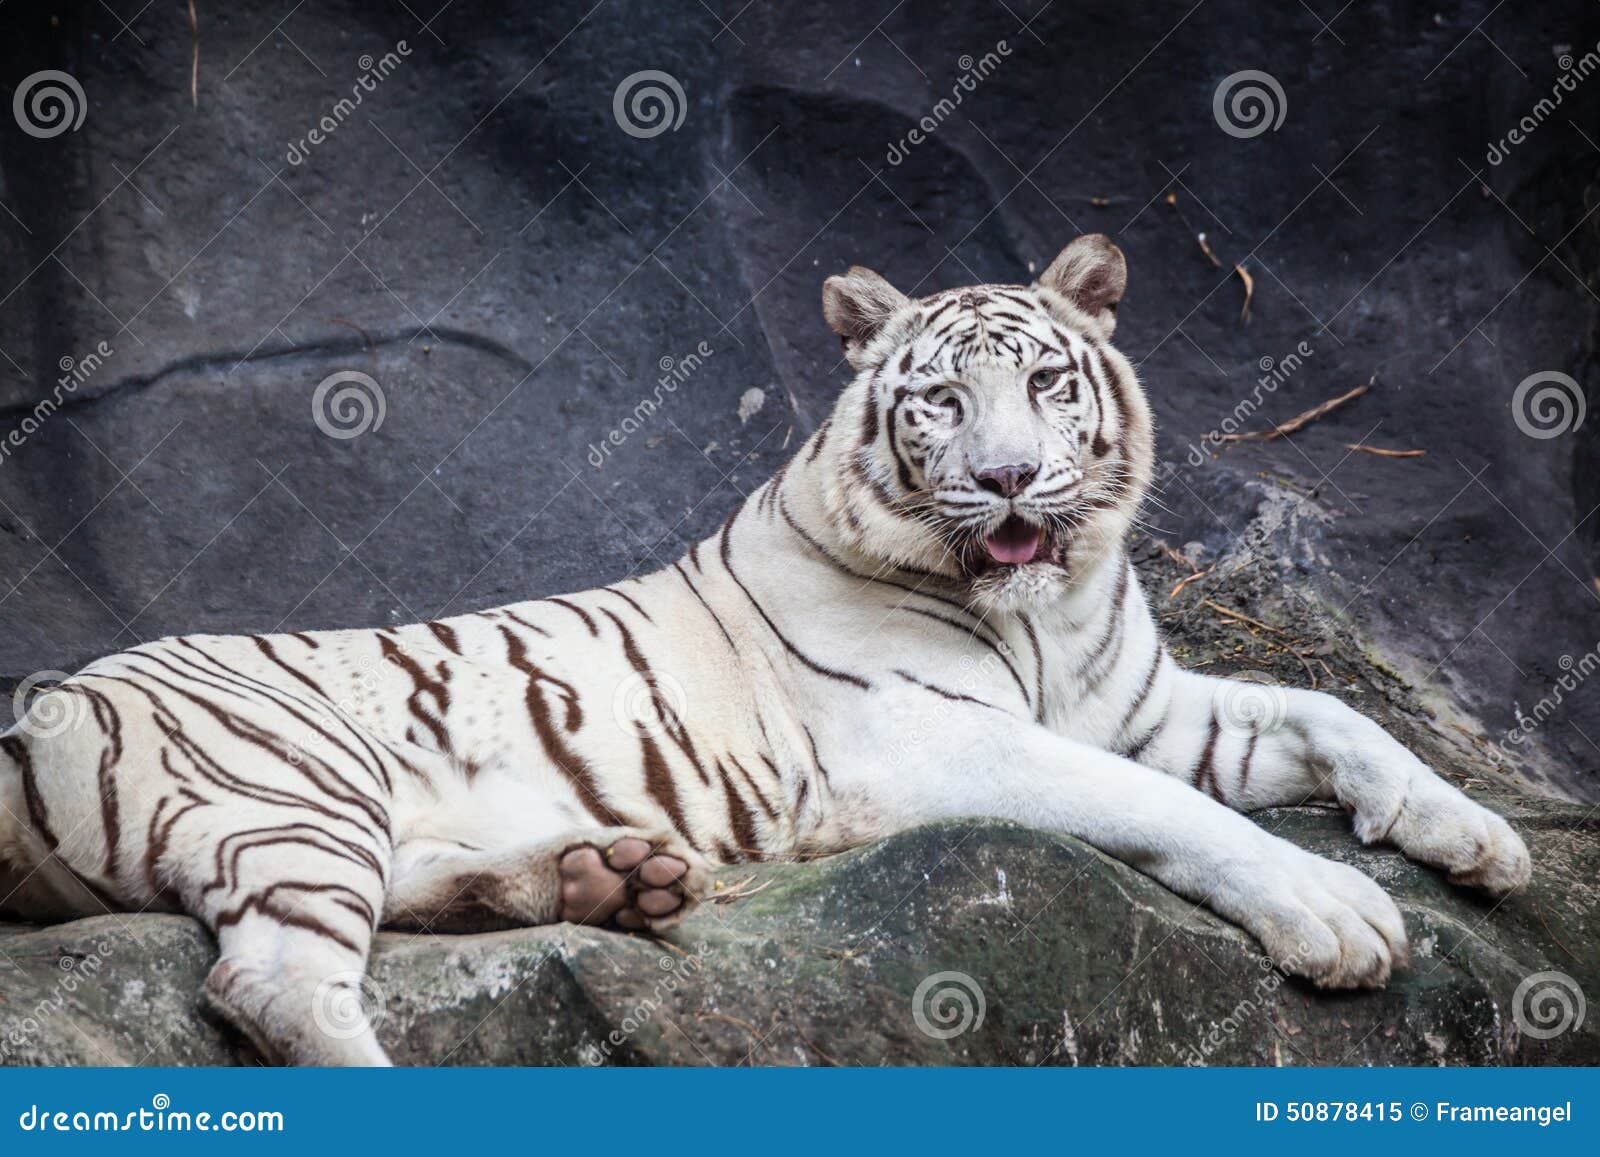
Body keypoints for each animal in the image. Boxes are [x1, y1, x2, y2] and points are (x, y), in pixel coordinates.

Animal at [0, 234, 1531, 1066]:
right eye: (940, 401)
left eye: (1047, 382)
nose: (1013, 479)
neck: (1044, 607)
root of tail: (47, 702)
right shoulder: (931, 742)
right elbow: (1169, 811)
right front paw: (1338, 911)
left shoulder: (1147, 707)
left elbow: (1333, 713)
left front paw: (1476, 839)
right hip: (297, 779)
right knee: (271, 981)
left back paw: (610, 876)